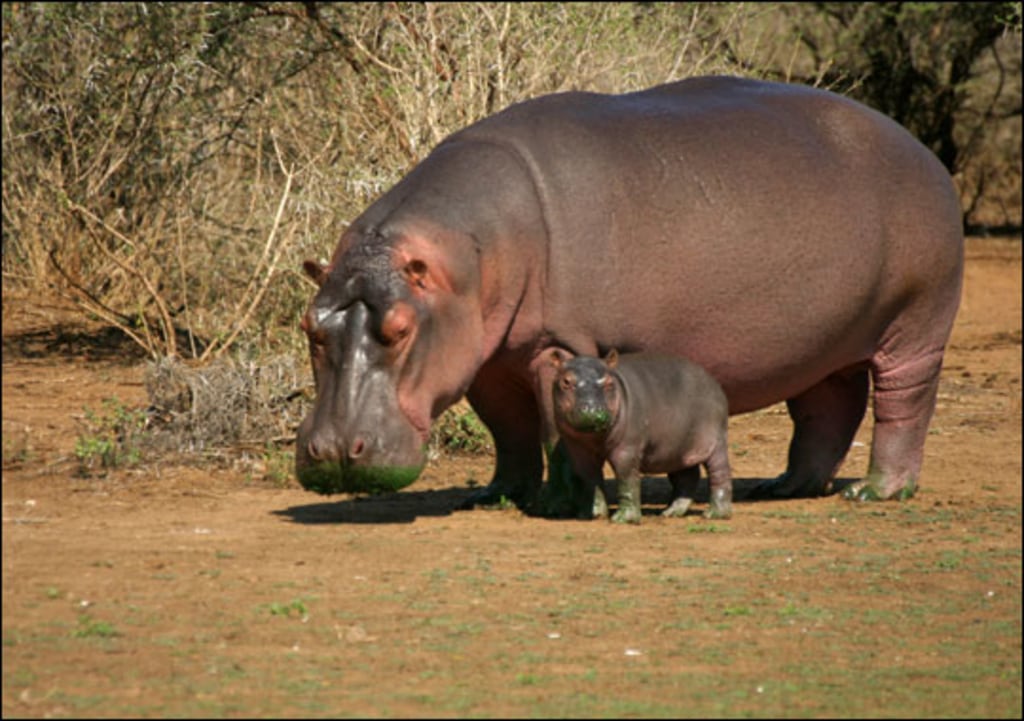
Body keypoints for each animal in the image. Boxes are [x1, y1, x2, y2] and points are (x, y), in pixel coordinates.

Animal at [551, 350, 732, 523]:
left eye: (609, 383)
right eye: (566, 381)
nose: (593, 410)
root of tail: (712, 380)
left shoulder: (627, 449)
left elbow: (627, 480)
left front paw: (624, 519)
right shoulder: (579, 450)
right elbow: (590, 480)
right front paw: (592, 514)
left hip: (716, 441)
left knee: (719, 472)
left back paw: (714, 514)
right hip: (678, 449)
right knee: (687, 477)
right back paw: (670, 512)